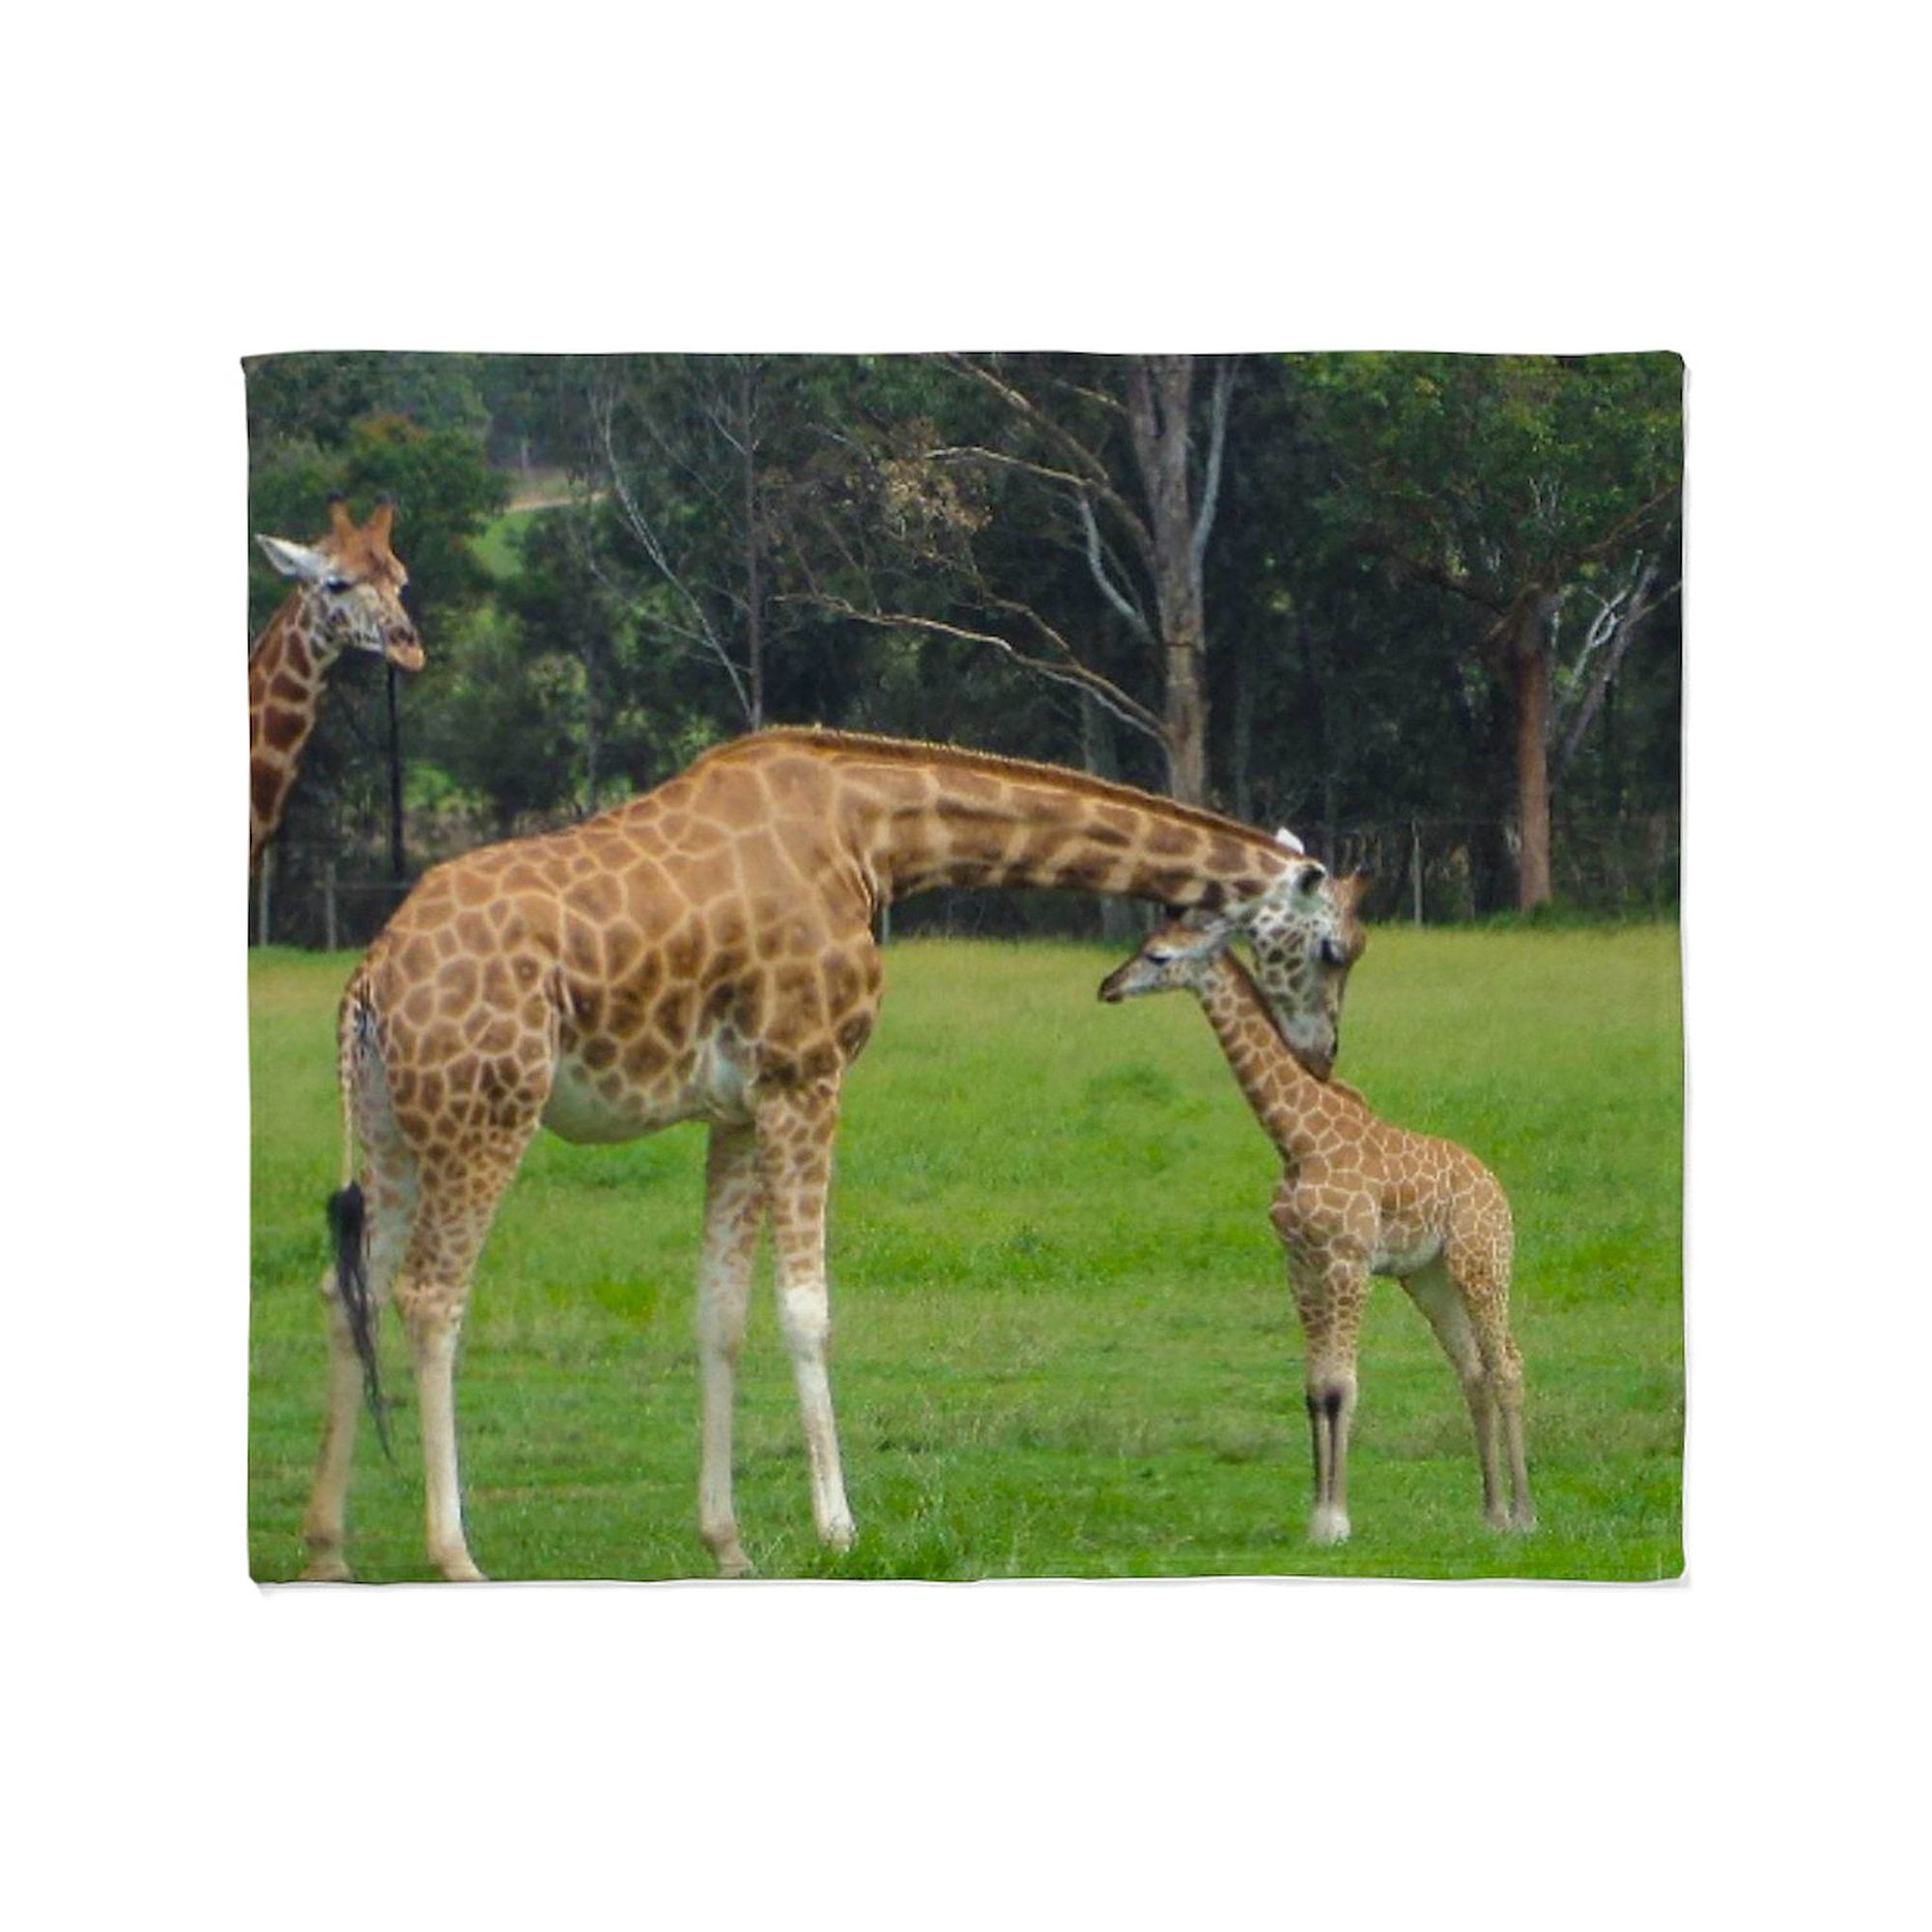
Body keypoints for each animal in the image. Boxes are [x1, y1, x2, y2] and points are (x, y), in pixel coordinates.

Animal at [302, 727, 1340, 1582]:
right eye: (1337, 950)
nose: (1322, 1055)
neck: (873, 835)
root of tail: (370, 980)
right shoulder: (806, 1076)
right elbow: (807, 1310)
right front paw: (838, 1528)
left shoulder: (735, 1106)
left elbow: (718, 1314)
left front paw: (726, 1541)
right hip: (488, 1109)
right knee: (430, 1294)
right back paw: (454, 1552)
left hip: (392, 1125)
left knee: (348, 1288)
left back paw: (326, 1547)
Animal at [1097, 880, 1534, 1544]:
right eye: (1143, 945)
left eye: (1158, 956)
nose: (1108, 986)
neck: (1298, 1140)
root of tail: (1495, 1185)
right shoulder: (1300, 1265)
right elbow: (1312, 1389)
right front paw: (1317, 1514)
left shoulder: (1347, 1264)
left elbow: (1340, 1387)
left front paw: (1334, 1520)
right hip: (1427, 1276)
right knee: (1474, 1371)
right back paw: (1491, 1513)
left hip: (1480, 1260)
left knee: (1506, 1364)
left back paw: (1527, 1515)